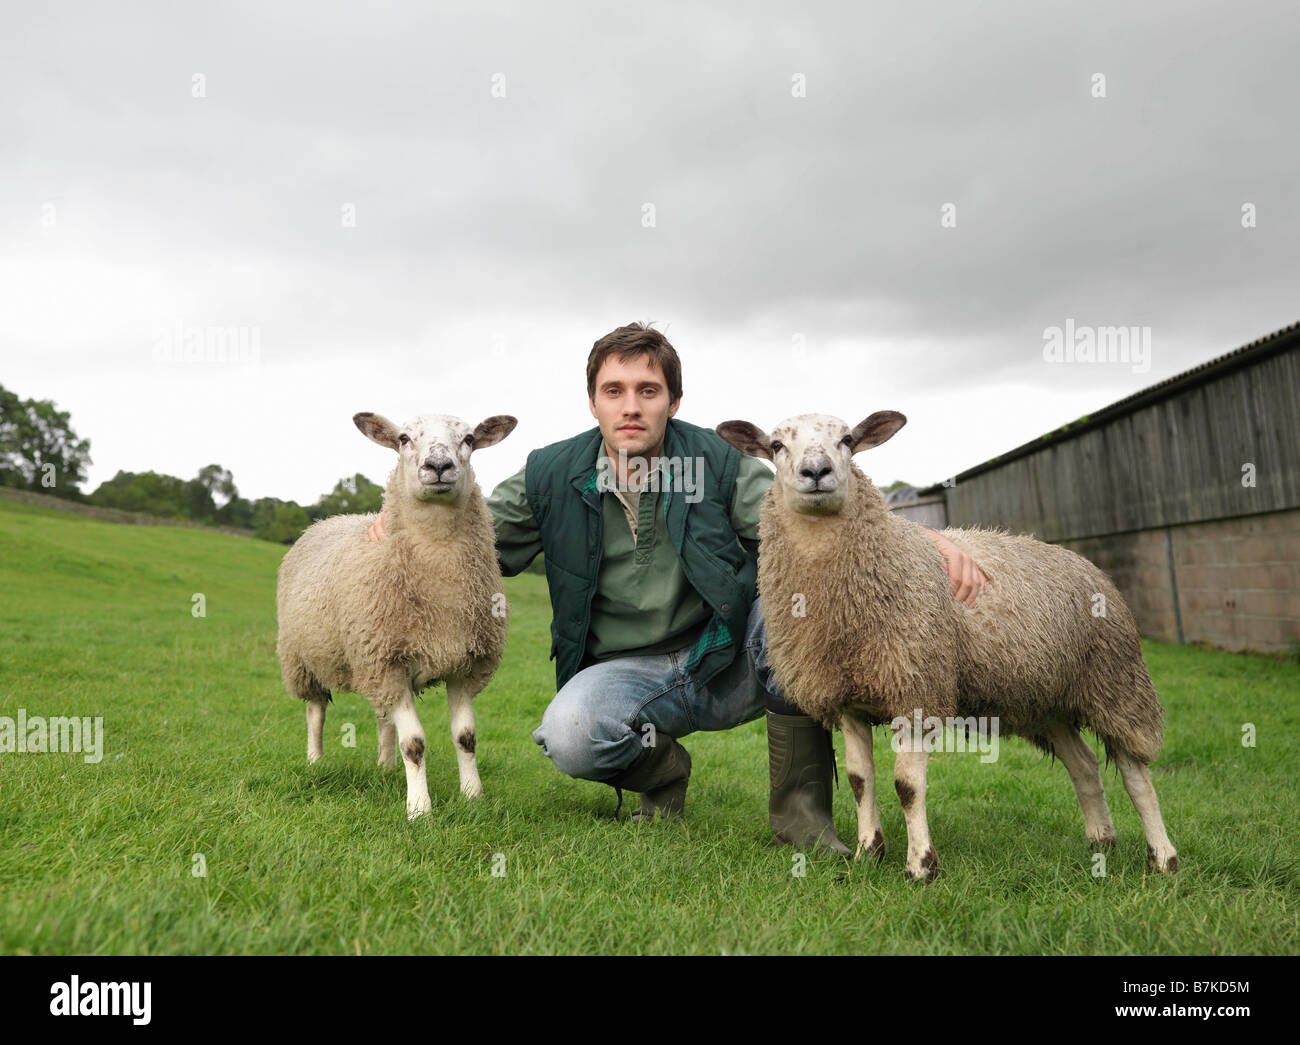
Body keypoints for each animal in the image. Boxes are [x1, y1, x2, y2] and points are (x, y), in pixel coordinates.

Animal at [276, 411, 516, 819]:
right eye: (403, 438)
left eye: (468, 438)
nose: (438, 466)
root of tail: (326, 520)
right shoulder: (387, 660)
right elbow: (415, 744)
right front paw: (419, 809)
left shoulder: (463, 664)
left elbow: (465, 738)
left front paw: (473, 796)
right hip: (305, 661)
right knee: (315, 712)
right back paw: (315, 761)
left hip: (371, 664)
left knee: (383, 717)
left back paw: (386, 767)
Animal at [716, 411, 1178, 880]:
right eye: (776, 446)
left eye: (847, 439)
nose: (816, 472)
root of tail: (1086, 564)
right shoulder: (847, 700)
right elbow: (860, 780)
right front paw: (868, 852)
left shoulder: (917, 688)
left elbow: (906, 785)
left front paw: (921, 865)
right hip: (1046, 699)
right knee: (1084, 765)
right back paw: (1101, 840)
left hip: (1115, 681)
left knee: (1136, 774)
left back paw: (1163, 858)